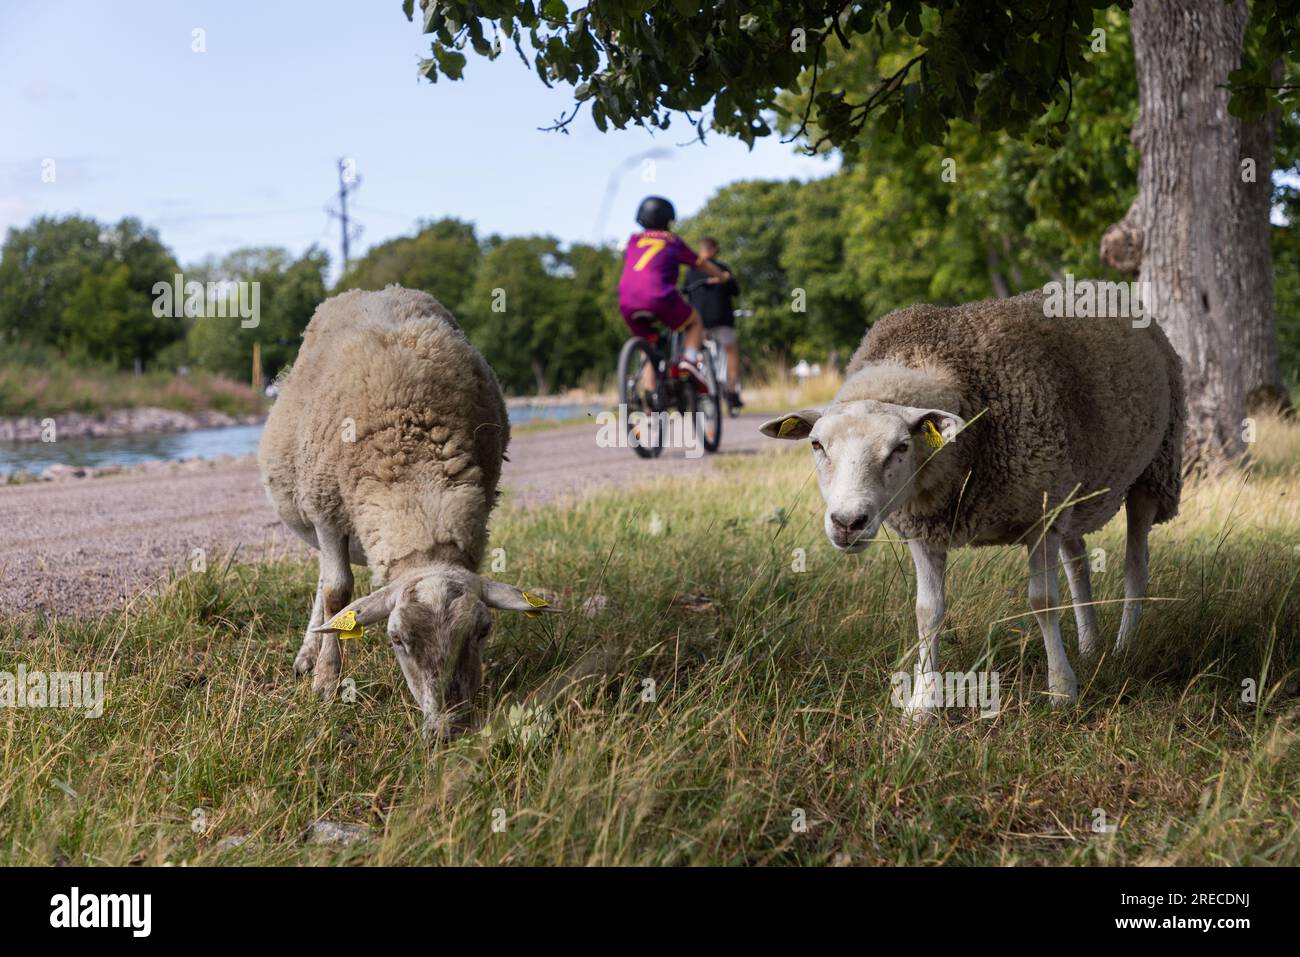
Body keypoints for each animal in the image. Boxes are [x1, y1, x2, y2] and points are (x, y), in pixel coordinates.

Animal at [258, 286, 557, 737]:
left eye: (483, 630)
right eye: (396, 639)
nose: (448, 729)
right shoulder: (327, 511)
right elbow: (337, 592)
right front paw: (326, 679)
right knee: (327, 585)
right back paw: (310, 653)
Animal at [762, 289, 1184, 718]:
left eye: (901, 447)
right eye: (817, 444)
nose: (848, 522)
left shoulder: (1040, 514)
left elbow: (1044, 602)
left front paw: (1062, 692)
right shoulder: (924, 526)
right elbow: (927, 612)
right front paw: (922, 705)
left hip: (1153, 471)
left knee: (1135, 567)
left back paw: (1123, 648)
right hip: (1071, 489)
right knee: (1078, 563)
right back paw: (1089, 646)